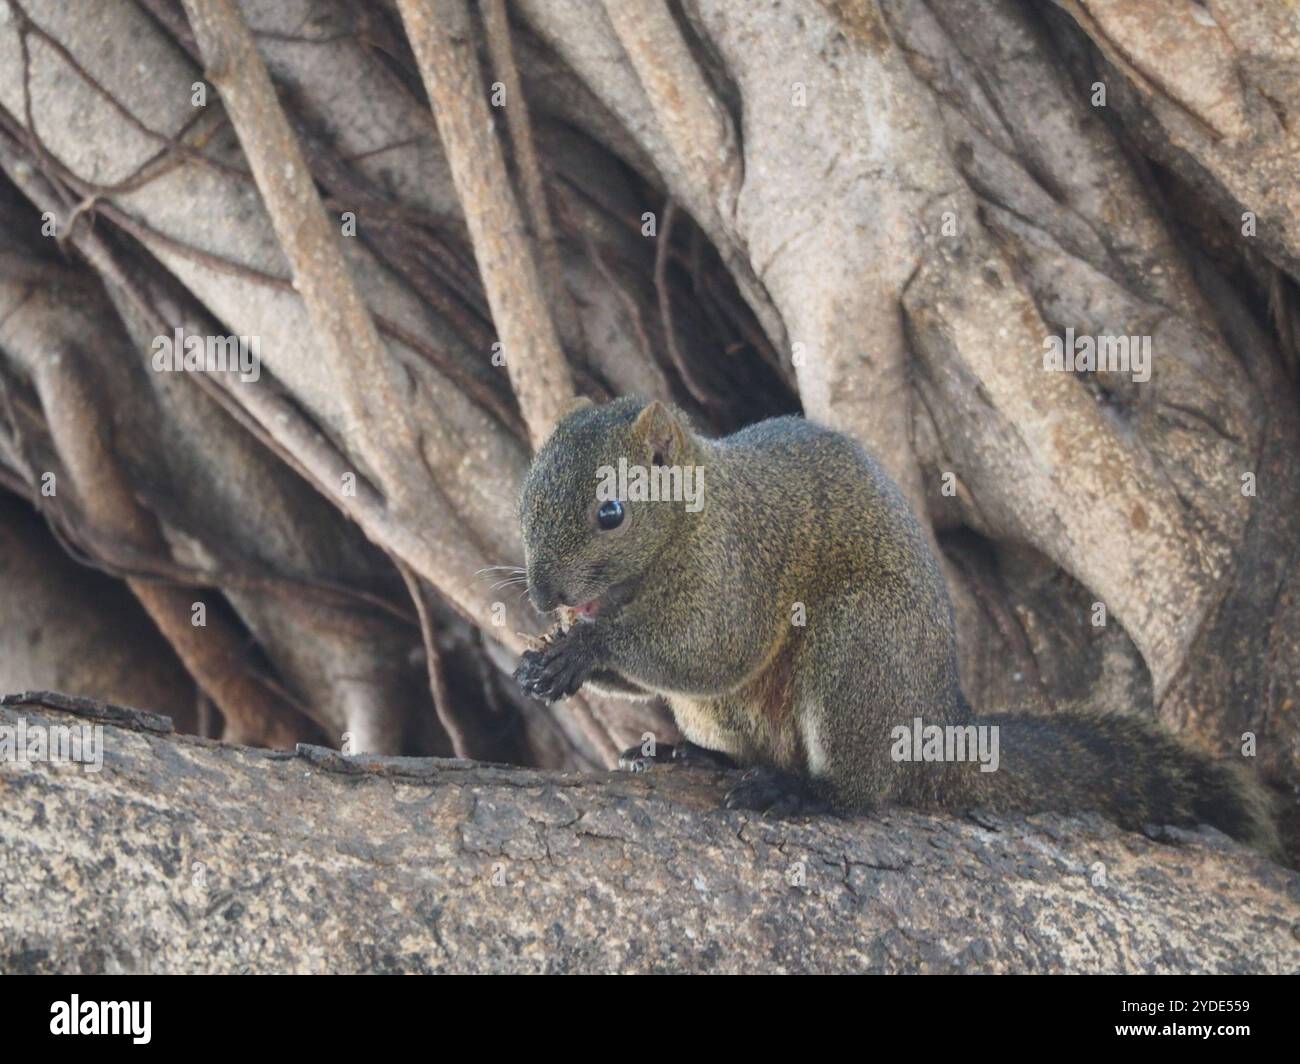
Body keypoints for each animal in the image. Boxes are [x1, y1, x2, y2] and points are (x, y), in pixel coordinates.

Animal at [513, 396, 1279, 854]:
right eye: (525, 500)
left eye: (611, 512)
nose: (545, 595)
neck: (691, 516)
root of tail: (939, 721)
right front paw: (542, 657)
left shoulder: (736, 567)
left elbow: (710, 647)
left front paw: (582, 649)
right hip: (729, 710)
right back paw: (696, 757)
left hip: (859, 645)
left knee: (862, 790)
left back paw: (804, 792)